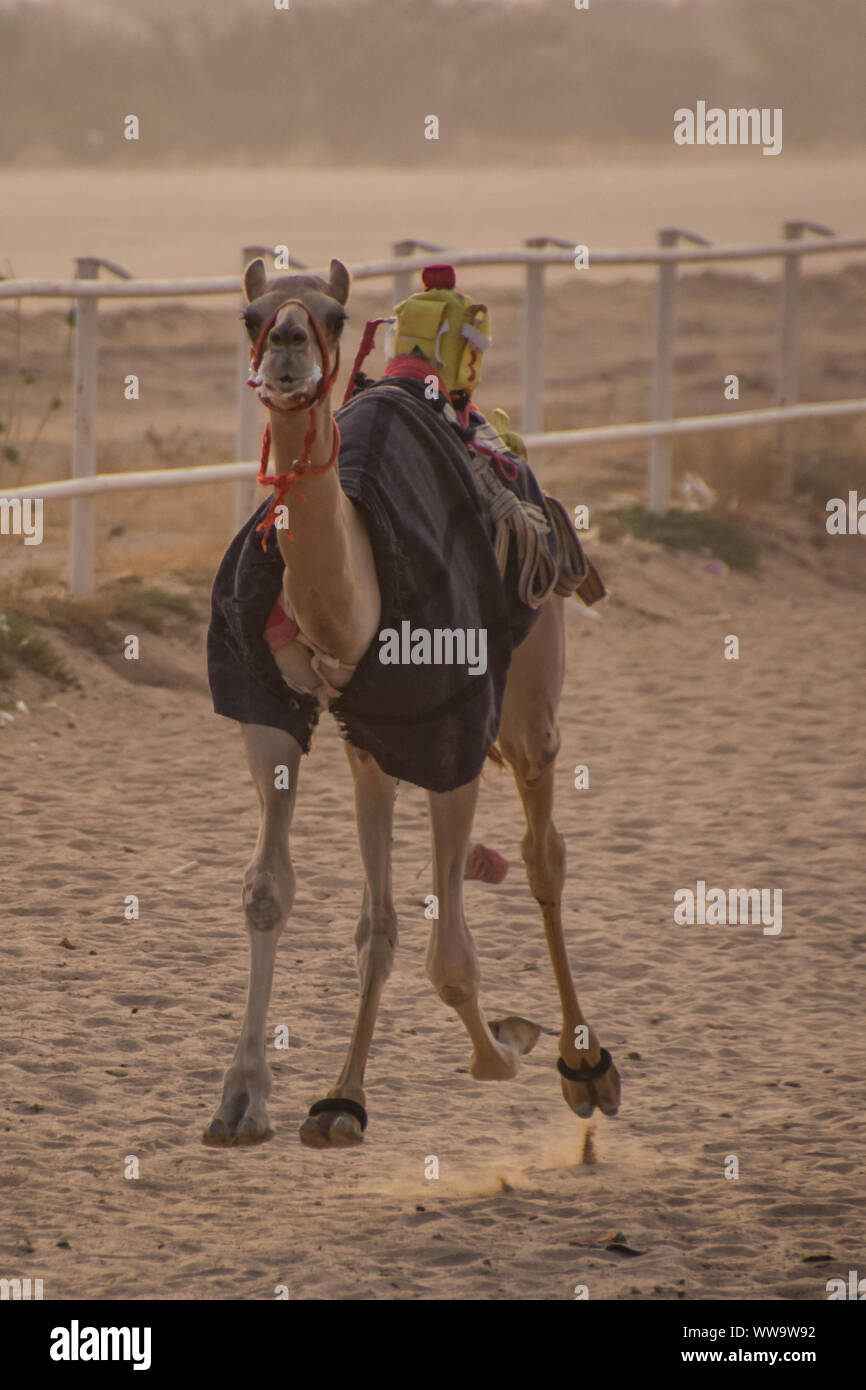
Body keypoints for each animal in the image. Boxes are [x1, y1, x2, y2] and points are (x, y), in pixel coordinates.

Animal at [203, 257, 621, 1148]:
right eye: (252, 313)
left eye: (331, 313)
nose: (288, 346)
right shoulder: (268, 714)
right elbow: (272, 892)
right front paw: (252, 1098)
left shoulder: (452, 732)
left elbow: (451, 956)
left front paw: (504, 1050)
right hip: (372, 737)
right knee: (381, 915)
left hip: (529, 684)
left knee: (543, 851)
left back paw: (584, 1064)